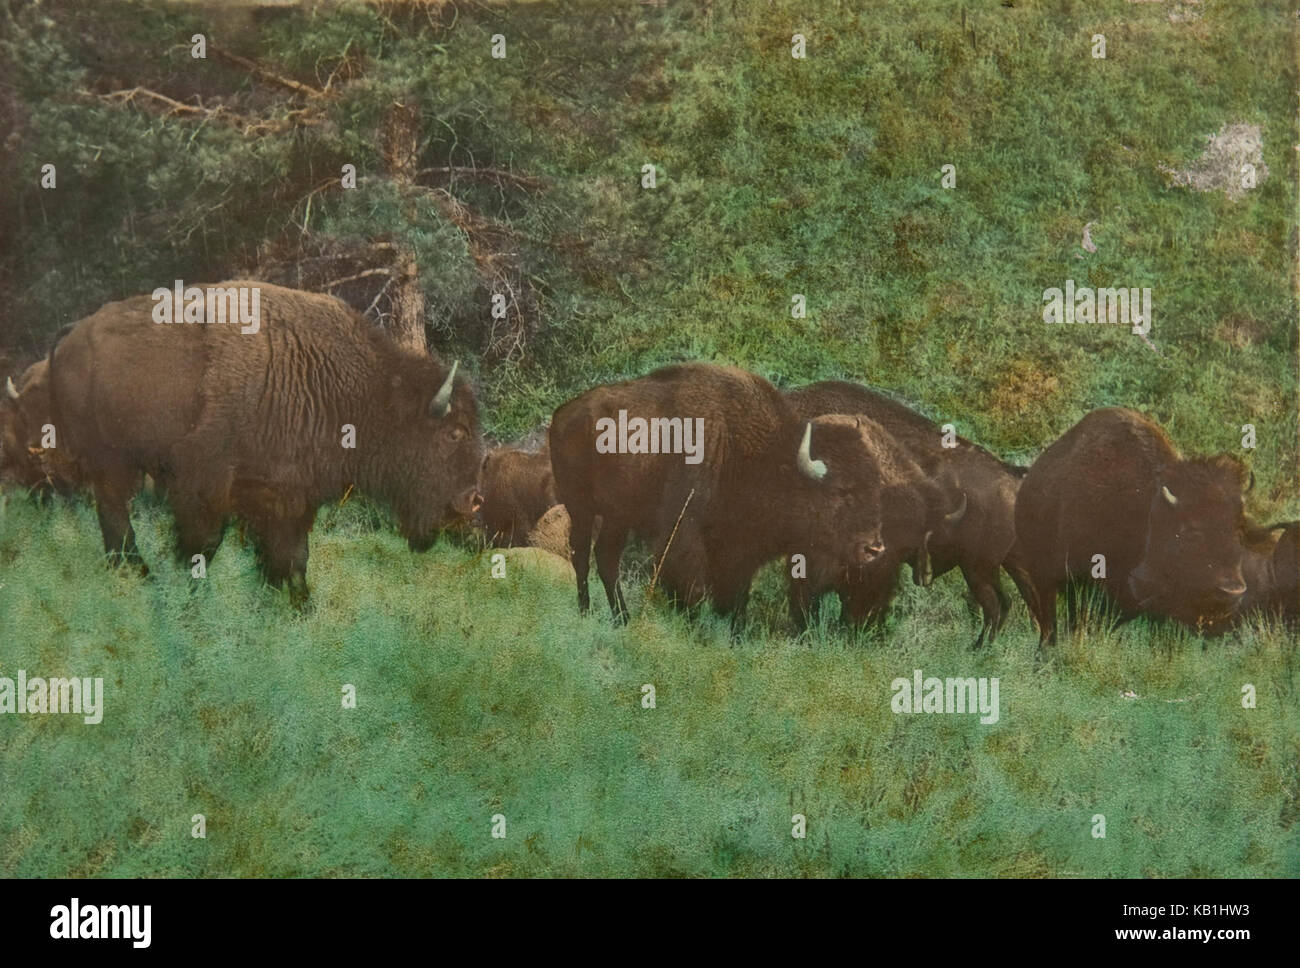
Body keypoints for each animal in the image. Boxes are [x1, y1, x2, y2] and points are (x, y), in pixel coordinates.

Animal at [43, 281, 482, 601]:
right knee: (114, 511)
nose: (474, 499)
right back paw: (135, 571)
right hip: (111, 461)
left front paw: (295, 607)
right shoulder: (207, 484)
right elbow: (203, 545)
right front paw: (192, 597)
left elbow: (291, 557)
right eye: (454, 432)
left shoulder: (289, 495)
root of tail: (69, 337)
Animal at [549, 363, 892, 627]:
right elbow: (693, 587)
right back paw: (585, 612)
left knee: (606, 559)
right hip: (580, 506)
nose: (874, 548)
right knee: (581, 554)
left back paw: (622, 618)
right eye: (842, 491)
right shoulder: (683, 534)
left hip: (618, 517)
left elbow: (736, 596)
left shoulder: (739, 549)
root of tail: (563, 413)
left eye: (875, 487)